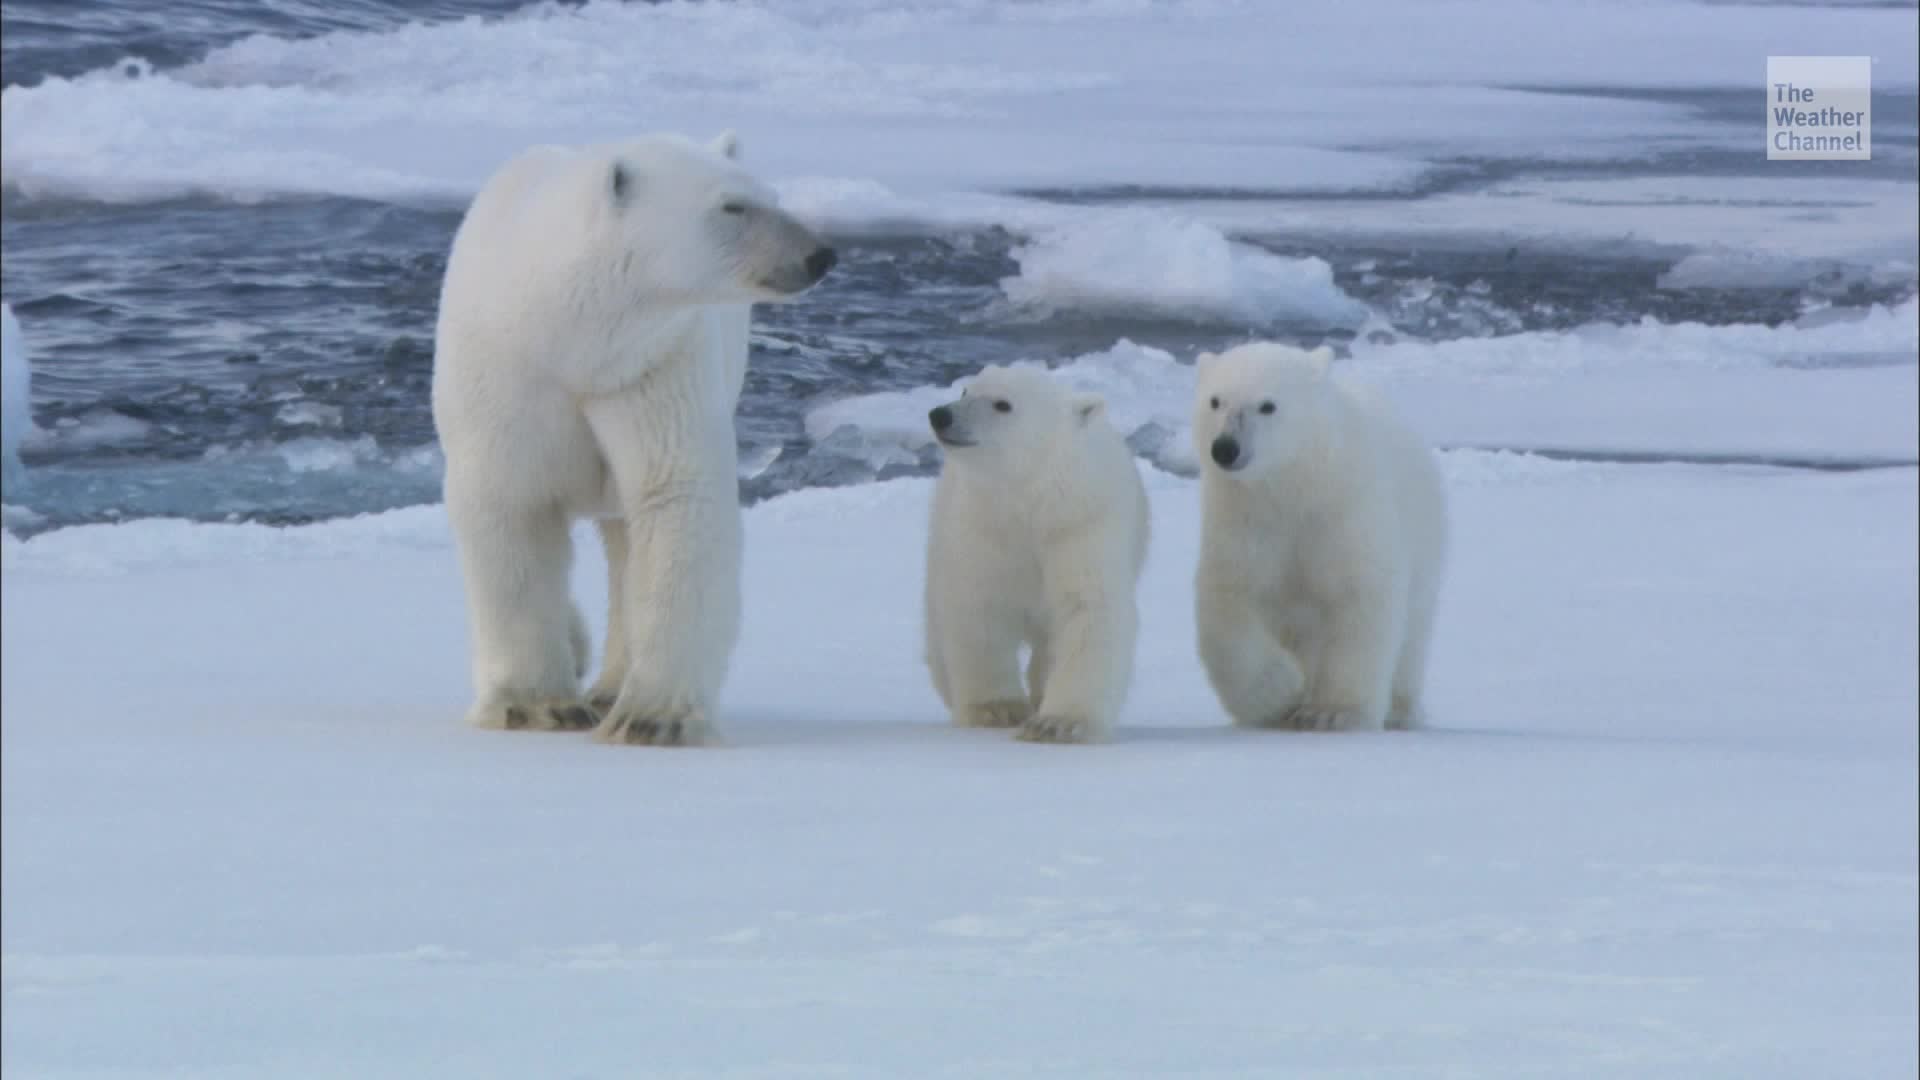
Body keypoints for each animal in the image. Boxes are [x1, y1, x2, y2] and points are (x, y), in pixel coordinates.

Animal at [430, 131, 836, 746]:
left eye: (772, 194)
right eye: (733, 207)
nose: (820, 254)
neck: (569, 336)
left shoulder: (653, 368)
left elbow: (675, 497)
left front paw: (653, 717)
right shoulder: (509, 374)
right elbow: (511, 506)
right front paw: (537, 705)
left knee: (627, 541)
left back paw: (608, 688)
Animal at [922, 365, 1151, 744]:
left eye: (1003, 404)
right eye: (966, 389)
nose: (941, 414)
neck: (1032, 501)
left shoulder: (1080, 527)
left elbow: (1088, 611)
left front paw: (1057, 723)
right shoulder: (981, 530)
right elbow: (978, 610)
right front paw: (997, 710)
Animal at [1189, 342, 1447, 733]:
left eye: (1268, 405)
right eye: (1215, 401)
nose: (1225, 448)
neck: (1294, 485)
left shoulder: (1342, 515)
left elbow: (1358, 598)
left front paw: (1334, 713)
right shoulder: (1244, 523)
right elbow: (1229, 604)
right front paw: (1278, 696)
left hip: (1425, 544)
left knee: (1413, 633)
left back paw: (1402, 710)